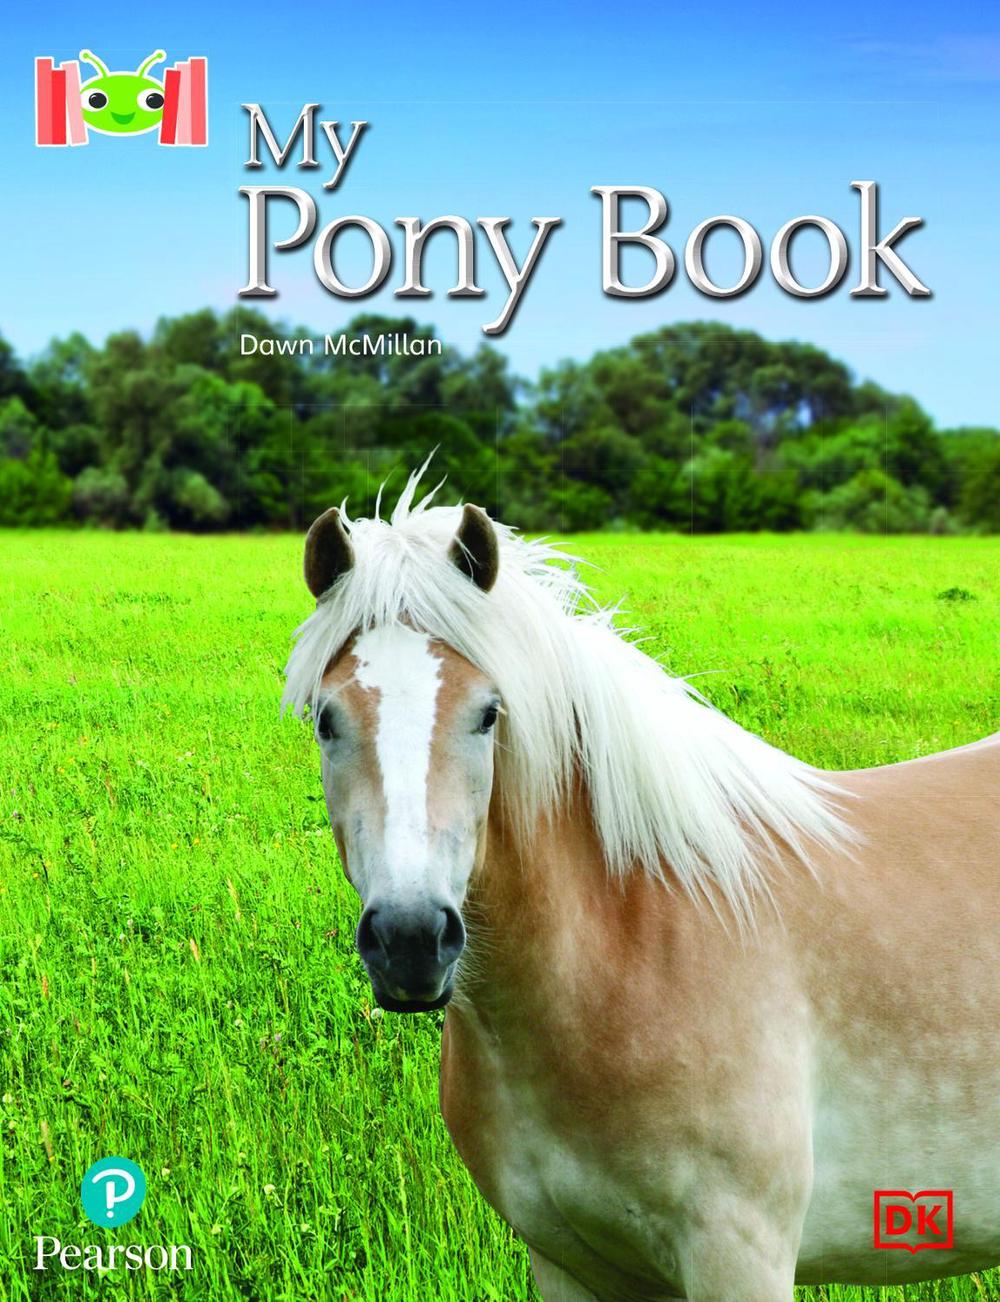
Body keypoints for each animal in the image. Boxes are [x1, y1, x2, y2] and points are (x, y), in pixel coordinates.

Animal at [283, 468, 1000, 1301]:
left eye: (488, 714)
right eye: (327, 719)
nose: (410, 940)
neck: (629, 949)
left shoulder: (739, 1255)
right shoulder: (569, 1263)